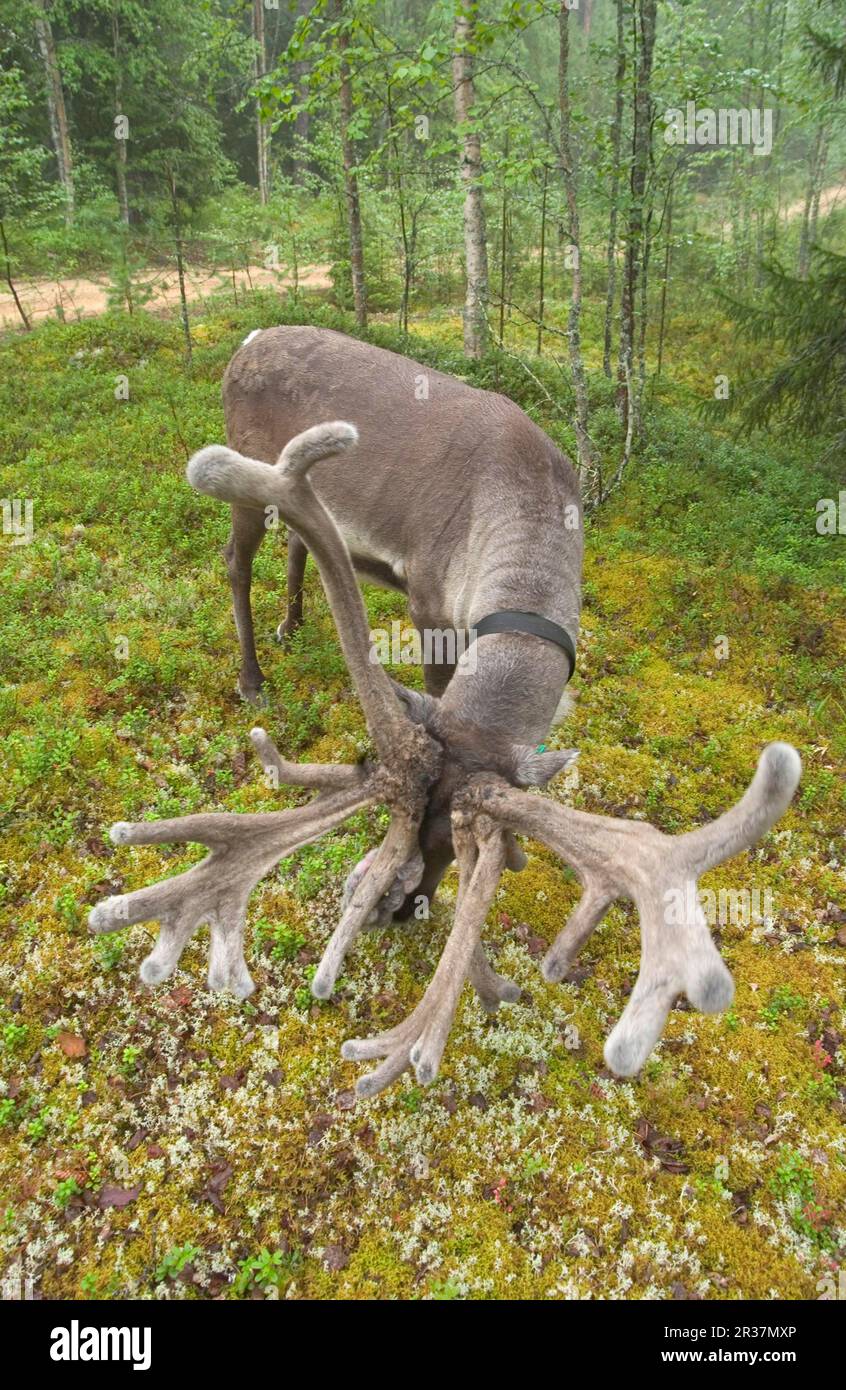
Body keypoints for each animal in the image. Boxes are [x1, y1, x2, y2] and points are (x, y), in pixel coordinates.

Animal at [87, 354, 802, 1097]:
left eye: (449, 849)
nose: (397, 912)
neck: (530, 516)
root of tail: (249, 343)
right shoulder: (430, 611)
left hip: (290, 495)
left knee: (298, 543)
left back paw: (293, 622)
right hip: (248, 482)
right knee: (234, 561)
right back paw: (252, 677)